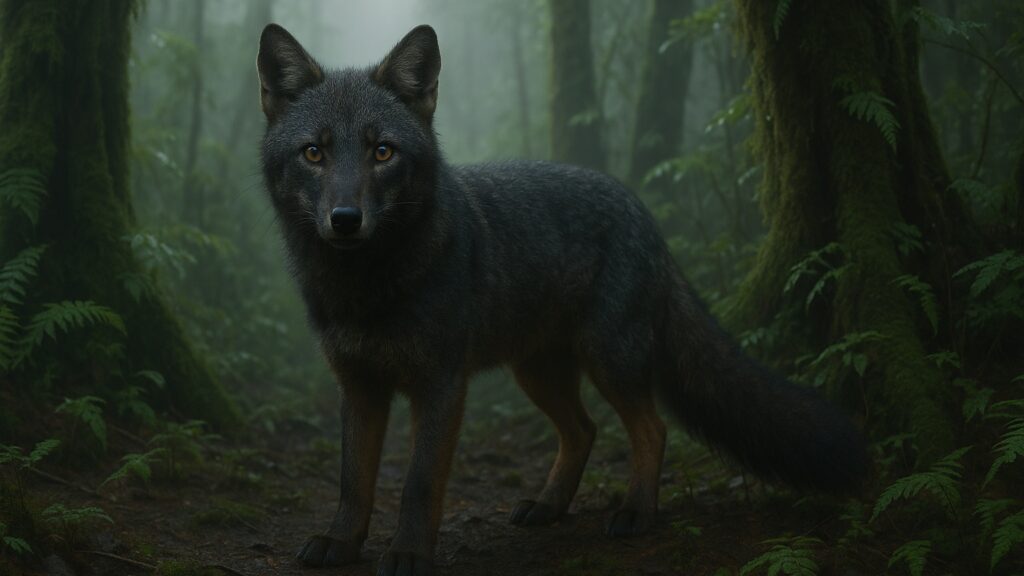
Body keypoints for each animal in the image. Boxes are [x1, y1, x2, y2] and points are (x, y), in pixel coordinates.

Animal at [256, 23, 867, 576]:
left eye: (383, 152)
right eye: (314, 154)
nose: (345, 219)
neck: (366, 291)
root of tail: (642, 212)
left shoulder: (441, 385)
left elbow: (418, 483)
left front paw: (408, 555)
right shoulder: (359, 387)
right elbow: (352, 482)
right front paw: (341, 544)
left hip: (609, 360)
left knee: (651, 429)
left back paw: (636, 513)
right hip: (540, 374)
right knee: (584, 431)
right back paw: (549, 507)